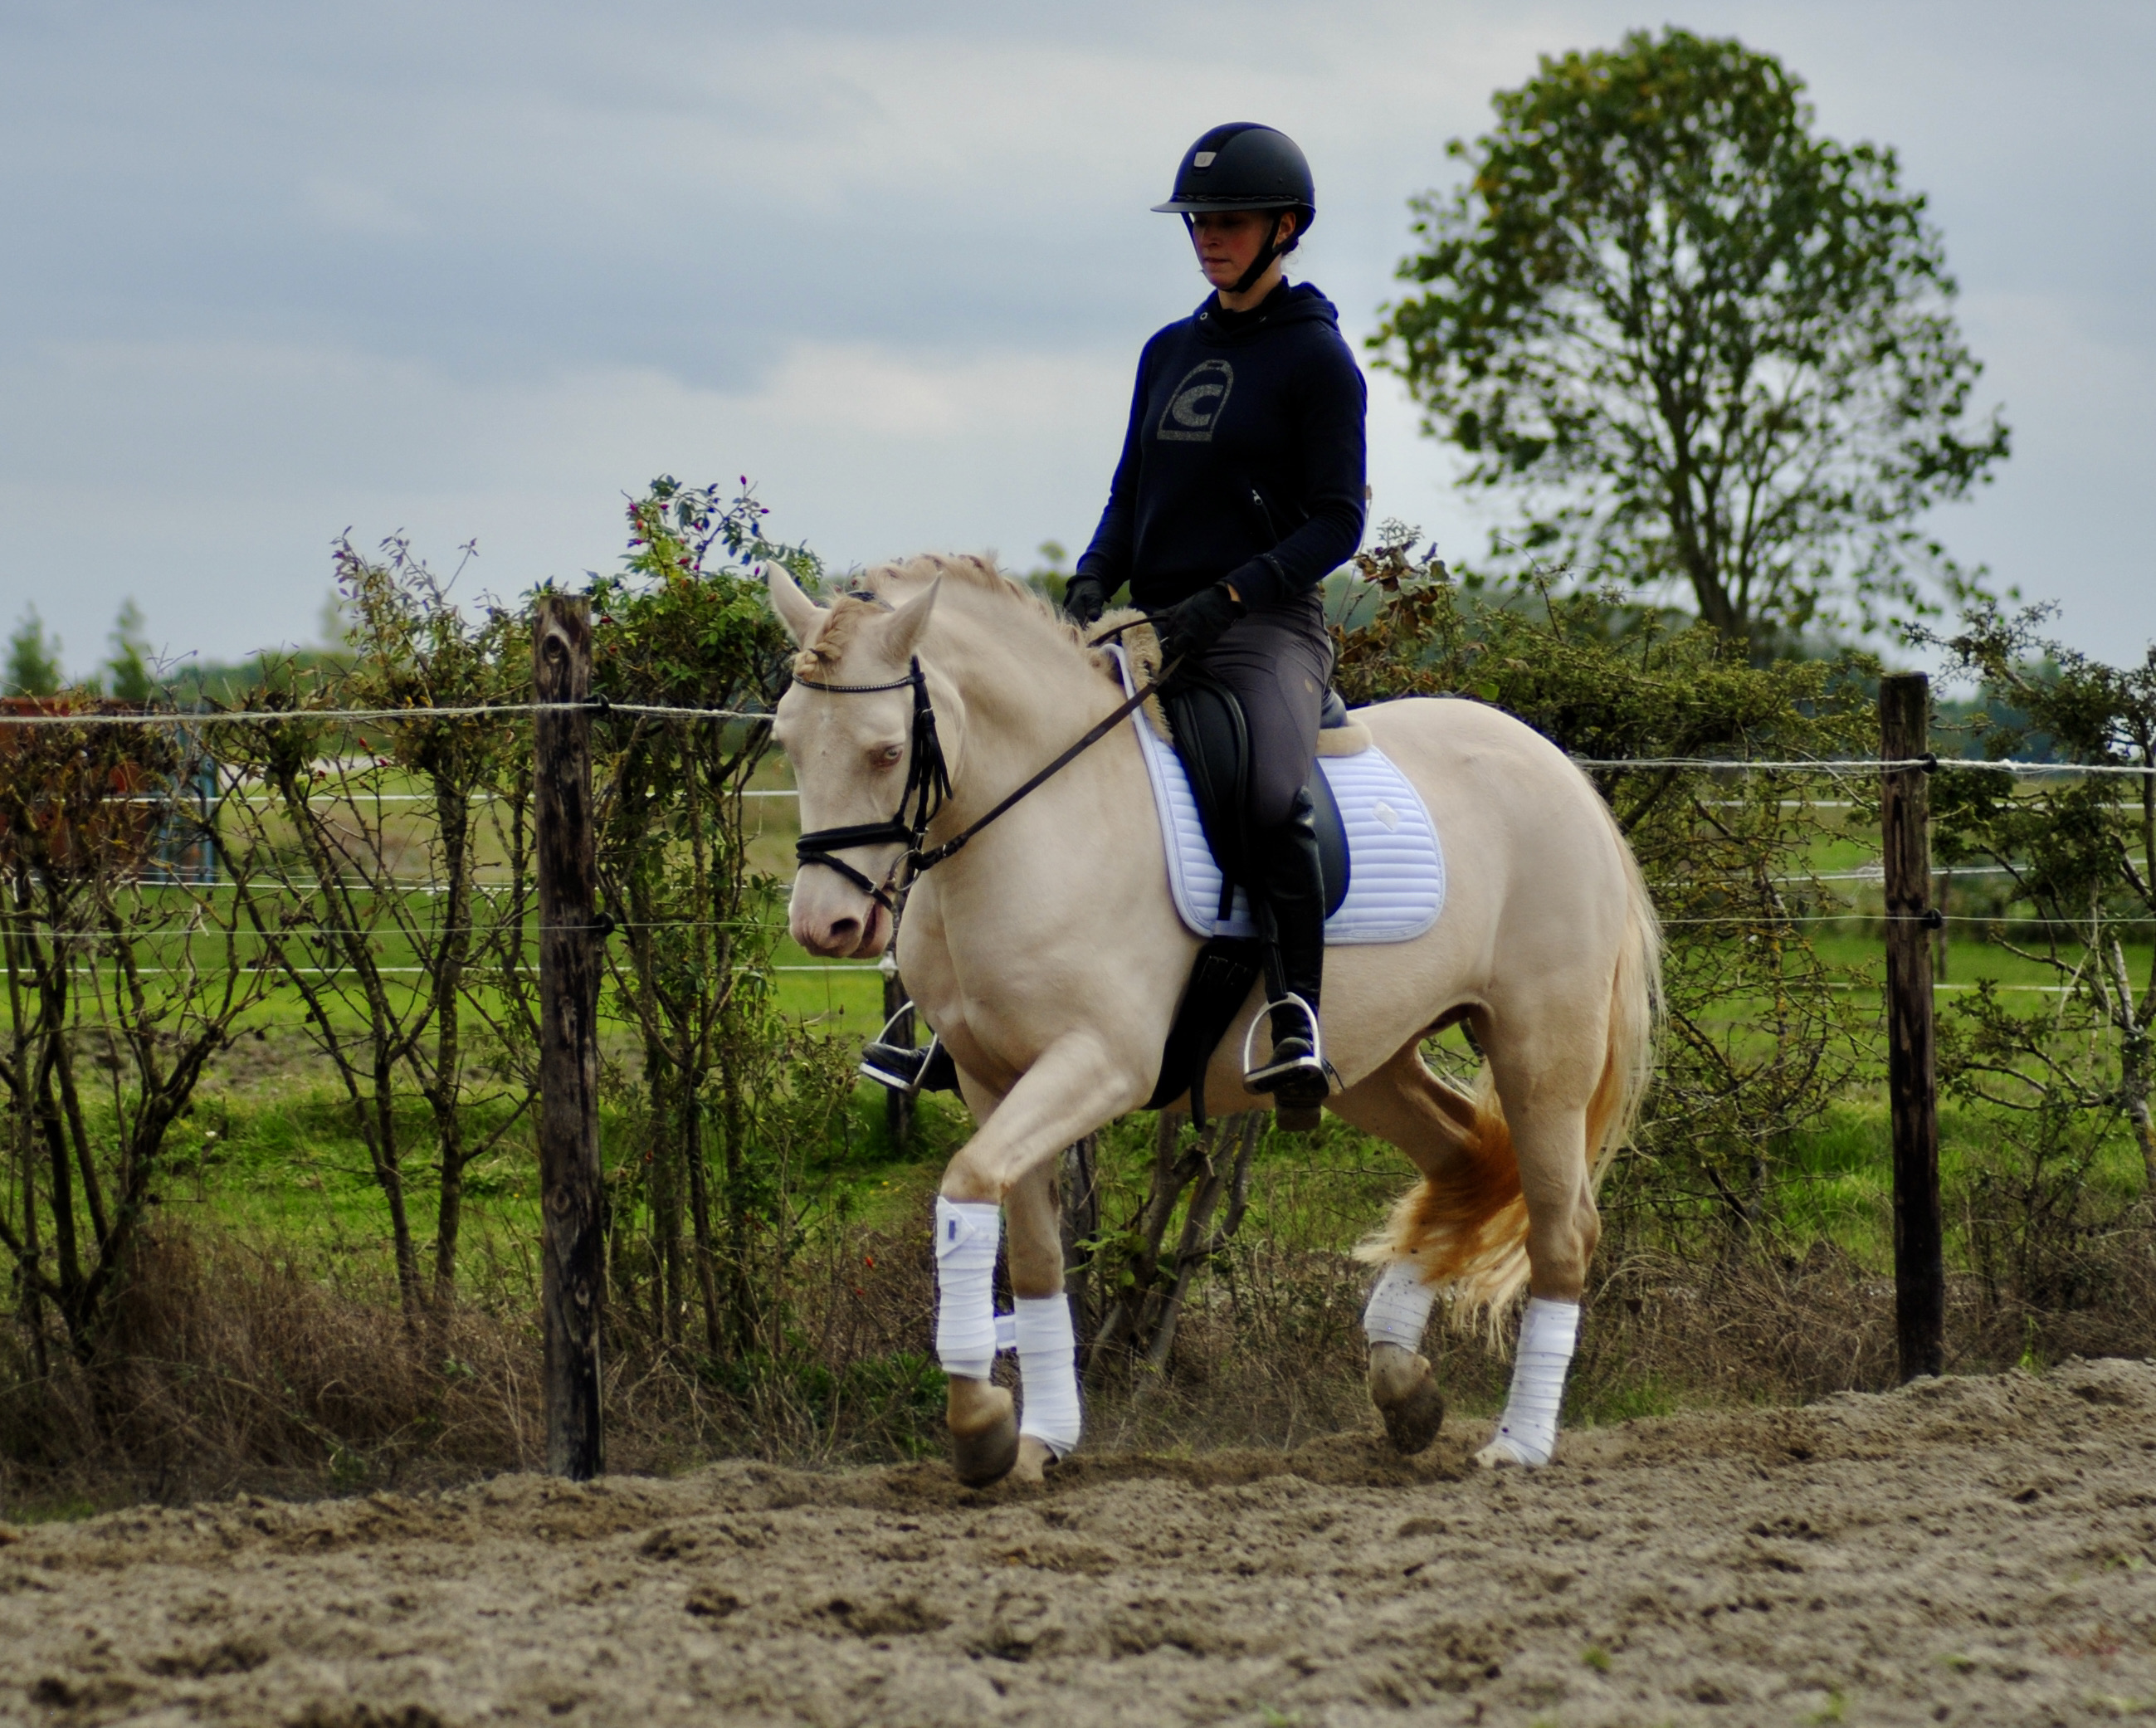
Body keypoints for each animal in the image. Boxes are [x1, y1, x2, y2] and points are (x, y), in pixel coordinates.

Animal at [766, 553, 1659, 1486]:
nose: (825, 928)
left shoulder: (1100, 1063)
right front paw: (1040, 1439)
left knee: (1562, 1228)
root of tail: (1562, 770)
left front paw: (980, 1427)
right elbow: (1037, 1254)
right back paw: (1403, 1386)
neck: (1042, 820)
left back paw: (1519, 1444)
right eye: (787, 741)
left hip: (1540, 1049)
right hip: (1370, 1067)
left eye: (887, 750)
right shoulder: (990, 1078)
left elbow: (969, 1184)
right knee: (1461, 1162)